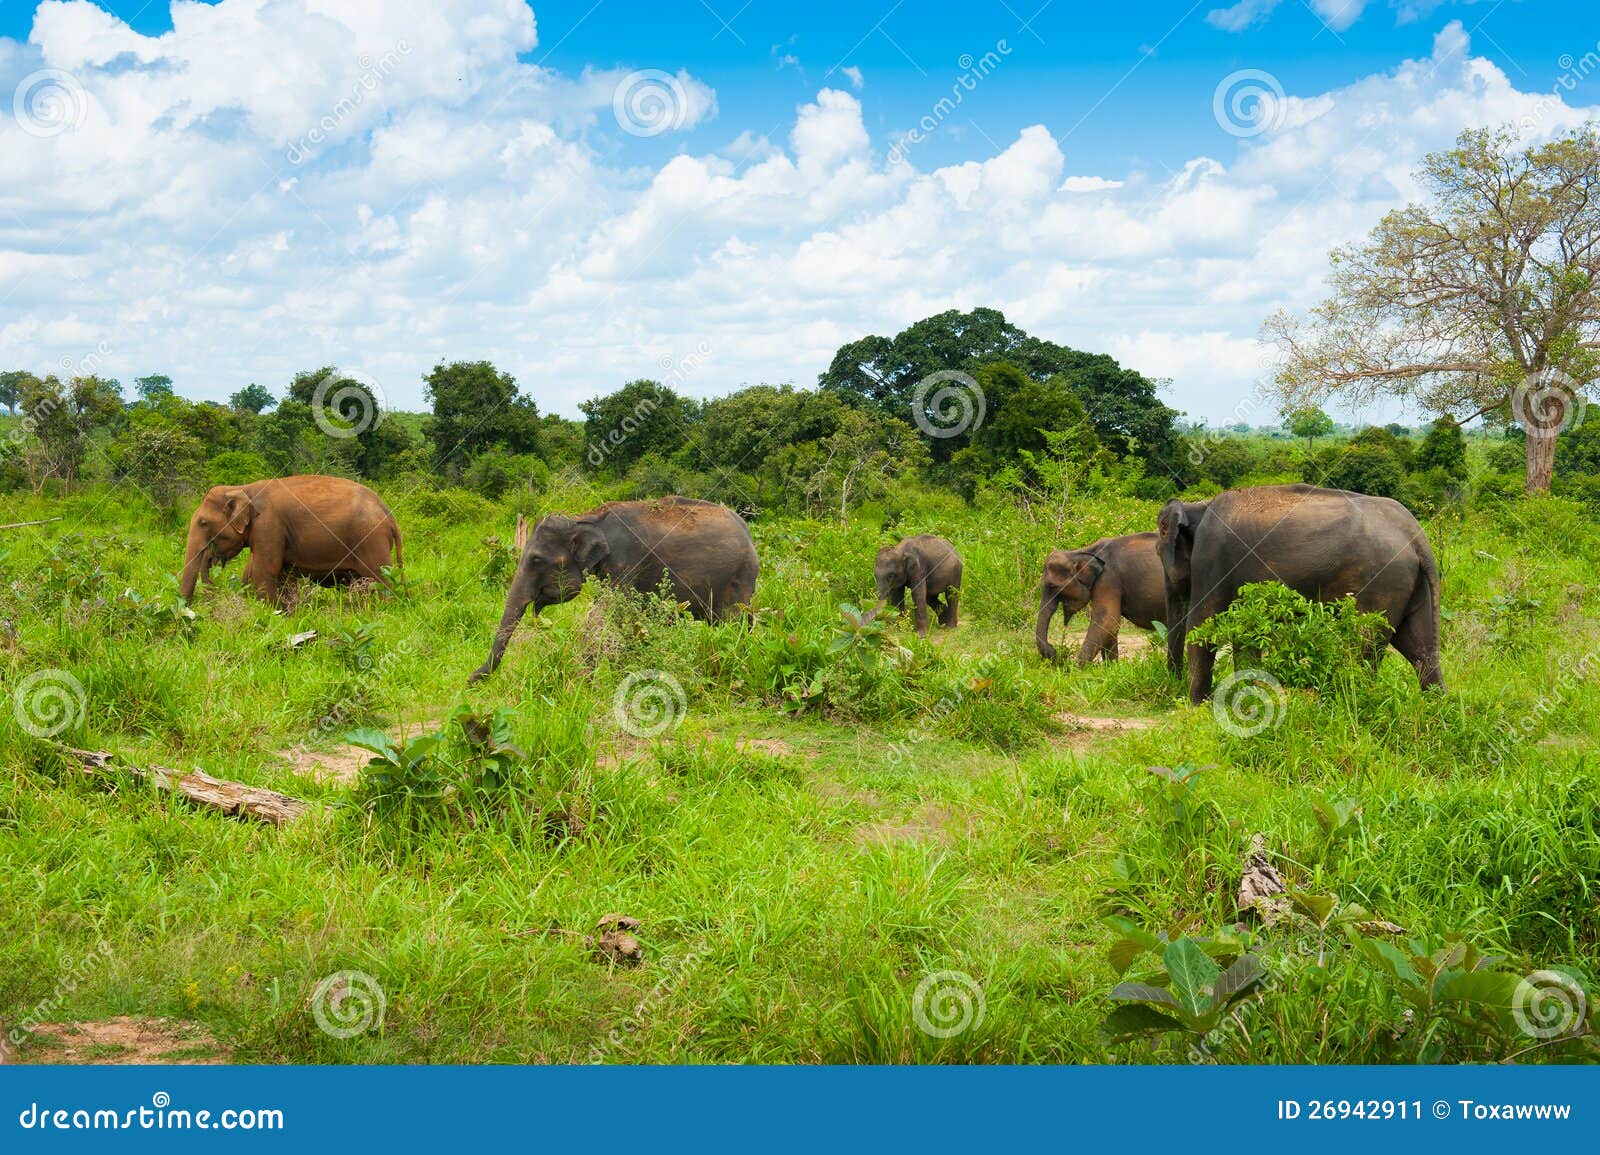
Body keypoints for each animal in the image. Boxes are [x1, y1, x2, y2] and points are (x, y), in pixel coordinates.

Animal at [179, 475, 403, 607]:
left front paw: (268, 613)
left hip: (372, 540)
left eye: (203, 522)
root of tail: (389, 514)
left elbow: (265, 571)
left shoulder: (269, 525)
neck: (242, 488)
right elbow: (282, 574)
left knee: (380, 578)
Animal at [470, 496, 758, 681]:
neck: (588, 518)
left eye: (536, 560)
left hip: (739, 577)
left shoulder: (626, 559)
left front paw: (581, 679)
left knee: (733, 622)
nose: (471, 679)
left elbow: (608, 613)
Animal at [1036, 532, 1165, 664]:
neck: (1081, 552)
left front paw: (1074, 669)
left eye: (1053, 586)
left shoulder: (1108, 578)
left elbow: (1106, 622)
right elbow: (1110, 627)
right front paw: (1111, 667)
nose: (1054, 649)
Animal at [1158, 483, 1443, 703]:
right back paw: (1435, 709)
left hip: (1381, 581)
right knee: (1419, 648)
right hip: (1410, 582)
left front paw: (1197, 706)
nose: (1172, 682)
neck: (1198, 506)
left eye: (1159, 555)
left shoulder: (1211, 556)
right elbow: (1244, 631)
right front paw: (1248, 696)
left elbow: (1203, 622)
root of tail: (1416, 536)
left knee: (1363, 646)